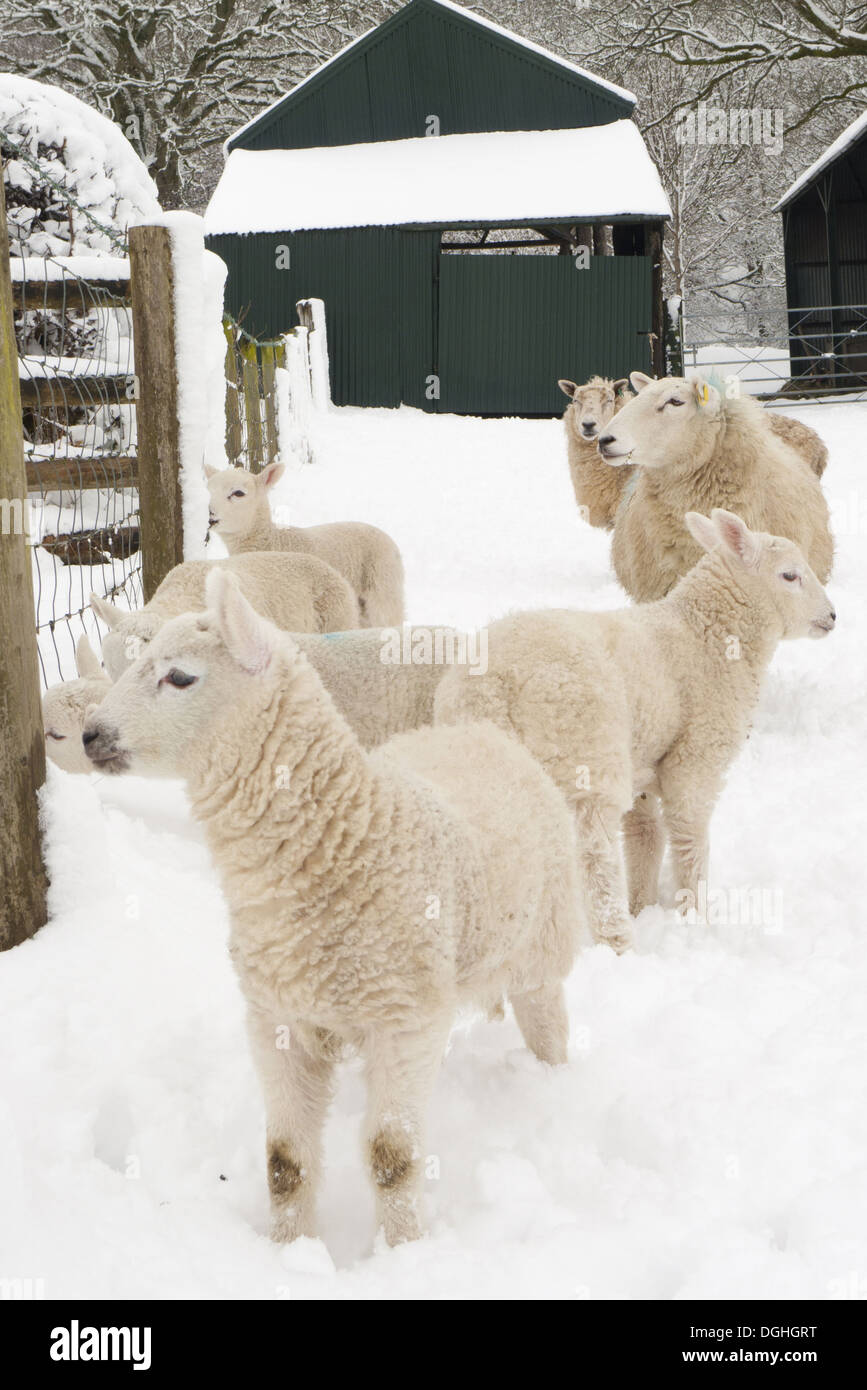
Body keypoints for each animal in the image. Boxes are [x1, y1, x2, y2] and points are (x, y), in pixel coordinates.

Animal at [82, 570, 584, 1247]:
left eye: (179, 676)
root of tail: (478, 729)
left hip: (543, 941)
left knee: (546, 1019)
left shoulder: (404, 1021)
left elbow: (392, 1157)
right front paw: (291, 1248)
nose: (91, 735)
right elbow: (285, 1162)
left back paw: (550, 1083)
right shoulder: (277, 1019)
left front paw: (403, 1250)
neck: (349, 837)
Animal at [206, 461, 405, 627]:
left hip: (383, 586)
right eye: (210, 491)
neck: (273, 540)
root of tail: (390, 540)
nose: (211, 517)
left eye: (238, 493)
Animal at [435, 509, 835, 952]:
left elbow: (645, 835)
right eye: (789, 575)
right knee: (594, 851)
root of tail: (491, 687)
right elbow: (689, 835)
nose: (832, 617)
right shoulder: (695, 756)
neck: (706, 632)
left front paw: (644, 904)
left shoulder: (646, 761)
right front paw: (694, 914)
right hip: (586, 751)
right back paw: (616, 940)